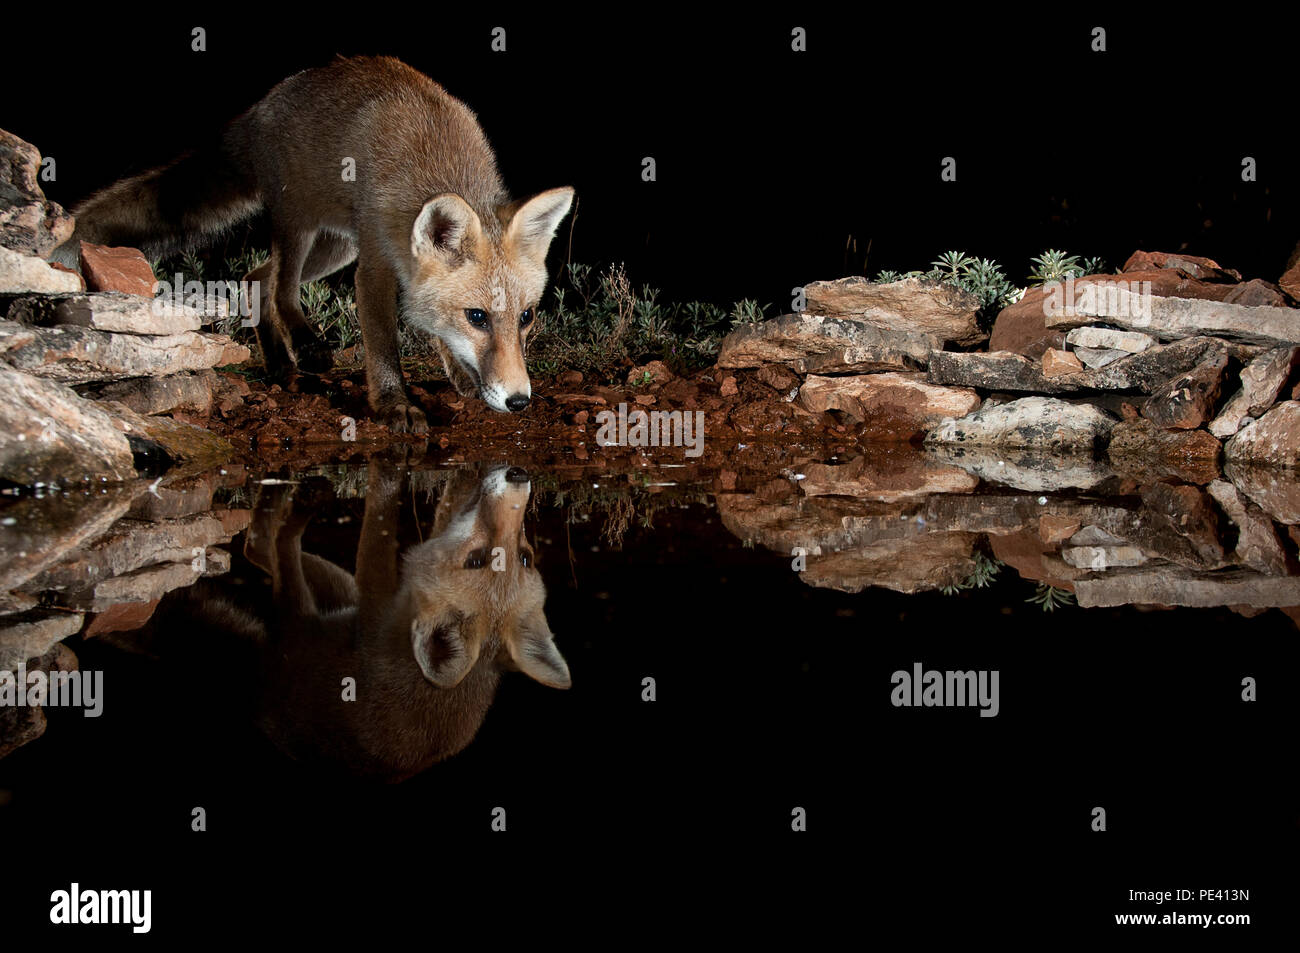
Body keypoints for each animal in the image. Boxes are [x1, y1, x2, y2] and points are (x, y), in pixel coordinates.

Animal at [53, 56, 575, 431]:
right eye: (478, 317)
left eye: (526, 317)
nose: (520, 400)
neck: (432, 160)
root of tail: (259, 106)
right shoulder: (375, 264)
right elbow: (383, 346)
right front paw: (393, 404)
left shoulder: (388, 261)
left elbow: (437, 331)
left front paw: (462, 377)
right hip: (300, 222)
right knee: (282, 287)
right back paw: (305, 346)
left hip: (334, 246)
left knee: (256, 276)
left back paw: (278, 364)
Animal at [125, 463, 569, 782]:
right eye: (528, 555)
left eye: (477, 559)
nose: (519, 475)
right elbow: (446, 504)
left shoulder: (356, 606)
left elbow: (373, 515)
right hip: (338, 593)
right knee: (259, 546)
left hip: (305, 622)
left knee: (271, 545)